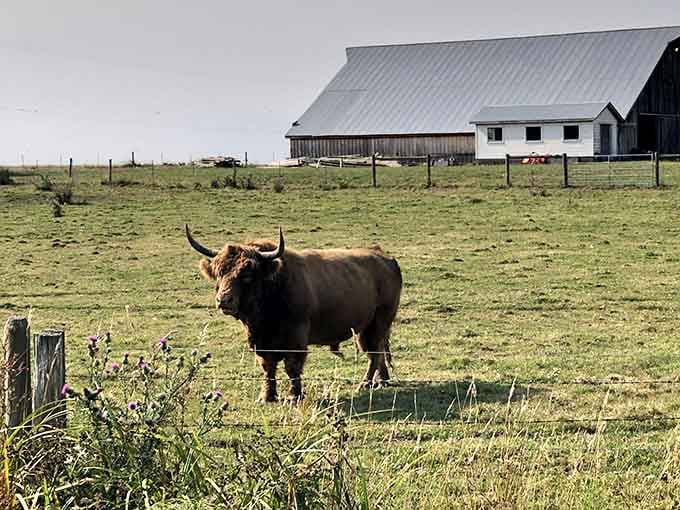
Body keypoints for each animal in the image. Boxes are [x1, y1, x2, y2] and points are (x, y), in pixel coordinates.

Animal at [185, 225, 402, 403]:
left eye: (247, 274)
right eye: (219, 272)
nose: (223, 300)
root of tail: (384, 256)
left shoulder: (296, 338)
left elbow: (292, 367)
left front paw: (293, 396)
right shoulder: (262, 342)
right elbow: (268, 367)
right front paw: (267, 396)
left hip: (379, 321)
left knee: (375, 352)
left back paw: (366, 383)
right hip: (363, 328)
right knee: (377, 350)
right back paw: (381, 380)